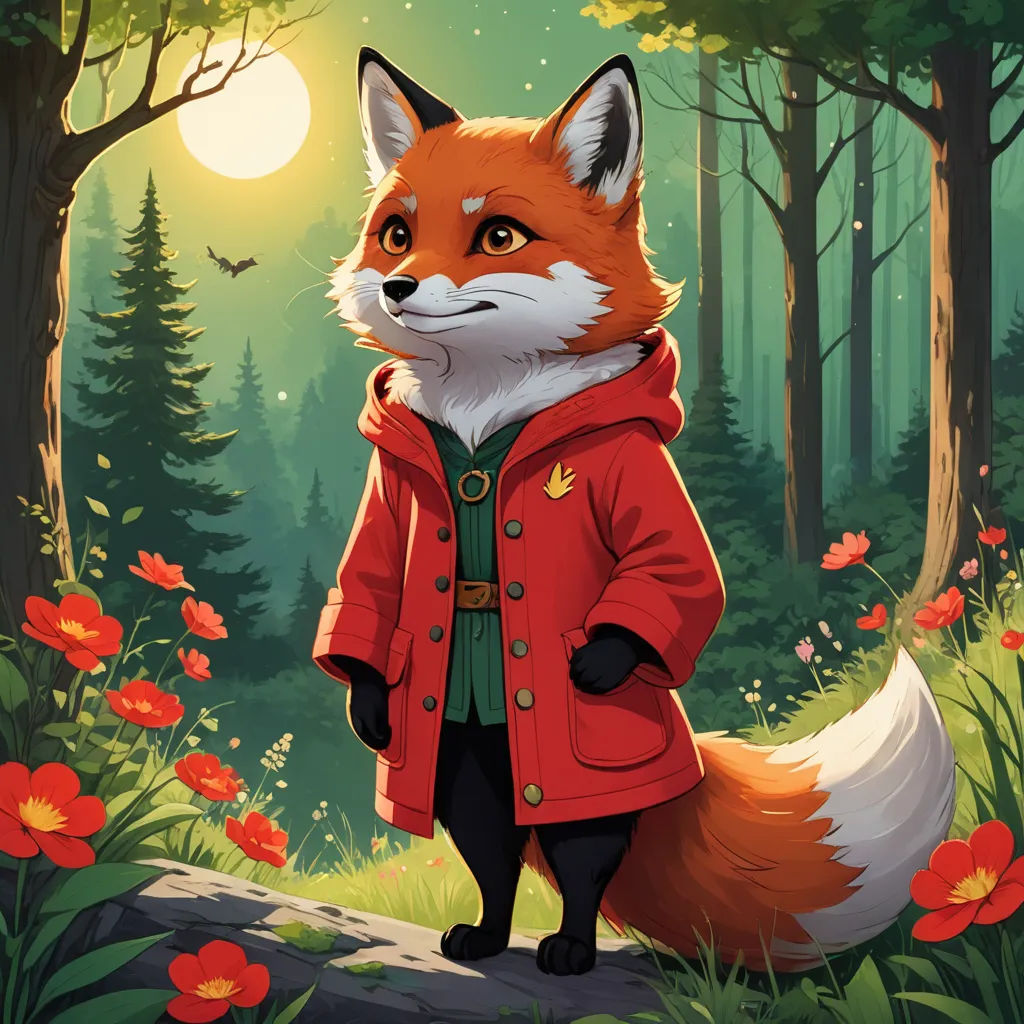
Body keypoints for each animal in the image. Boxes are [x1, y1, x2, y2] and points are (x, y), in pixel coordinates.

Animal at [313, 45, 957, 976]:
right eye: (397, 233)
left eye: (497, 236)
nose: (397, 285)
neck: (481, 415)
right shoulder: (395, 497)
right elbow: (368, 585)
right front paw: (366, 701)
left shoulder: (637, 474)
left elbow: (671, 565)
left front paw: (603, 658)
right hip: (463, 751)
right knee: (493, 841)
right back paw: (486, 936)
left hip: (580, 766)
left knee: (583, 853)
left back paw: (570, 948)